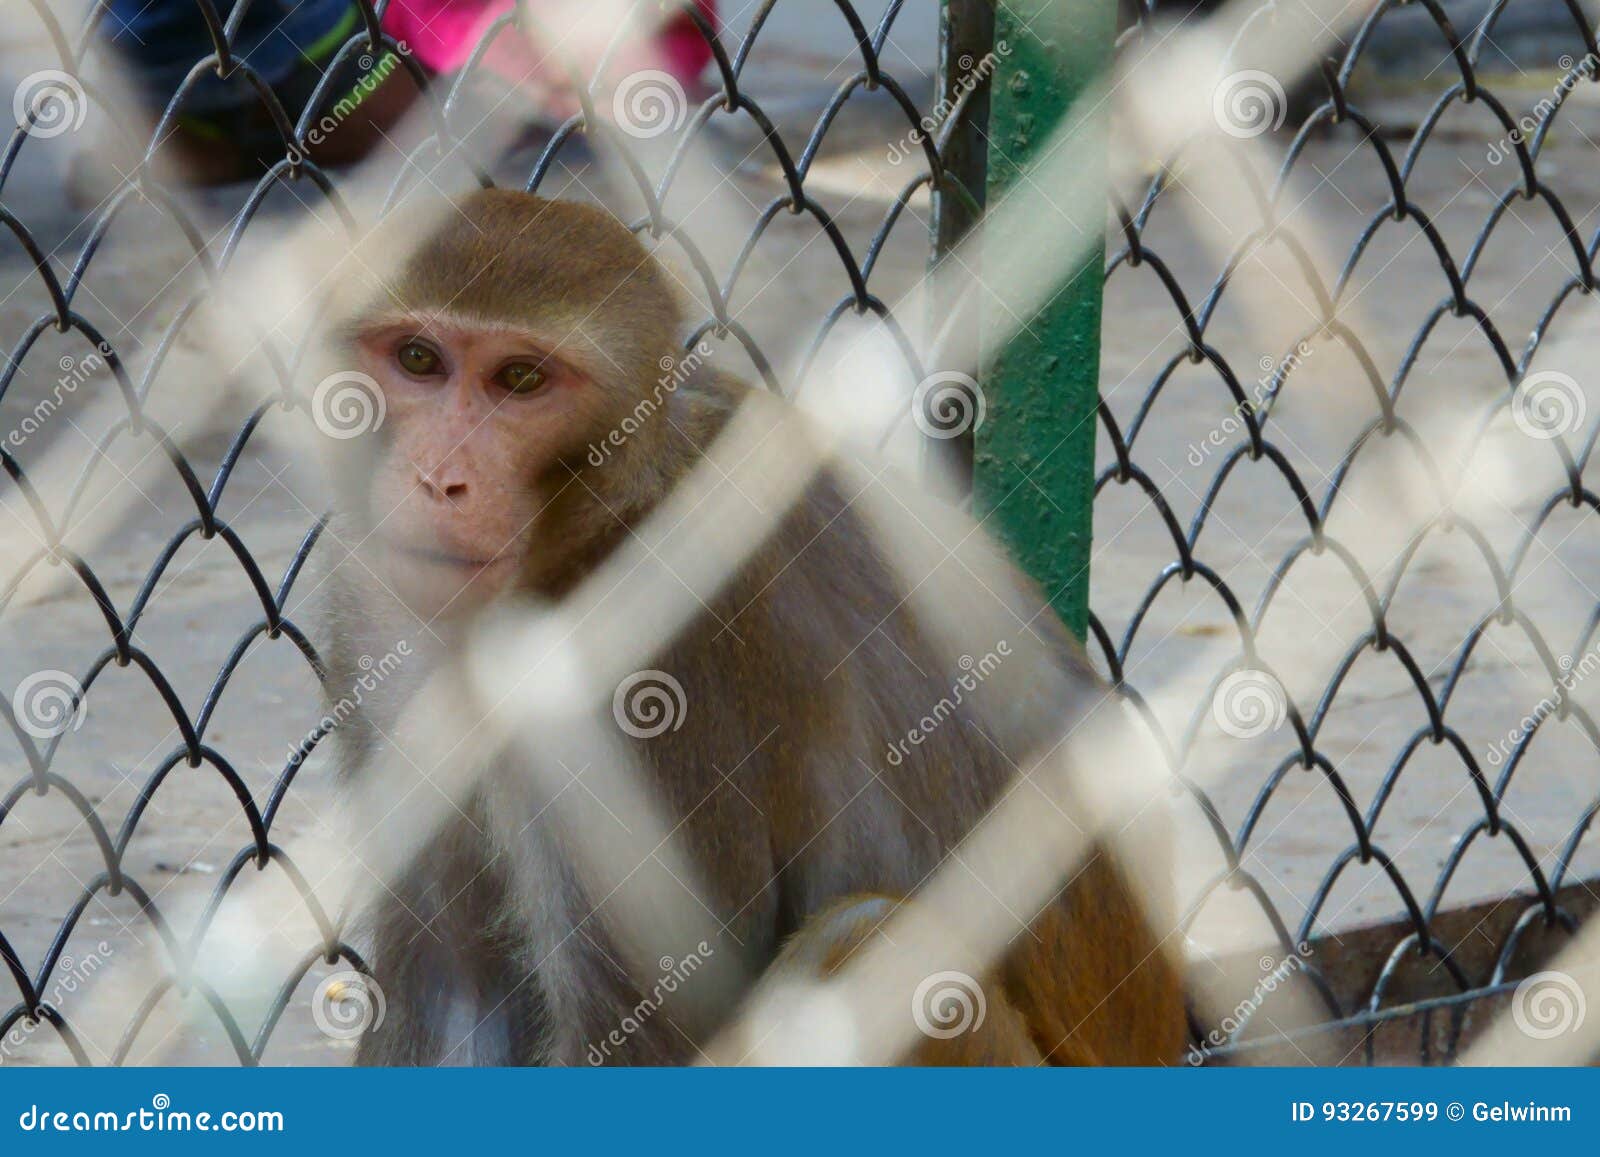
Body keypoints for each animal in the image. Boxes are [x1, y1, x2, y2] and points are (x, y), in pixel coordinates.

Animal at [310, 188, 1185, 1066]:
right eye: (419, 359)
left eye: (520, 378)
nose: (437, 478)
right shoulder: (364, 600)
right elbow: (450, 984)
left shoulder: (650, 671)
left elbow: (644, 1031)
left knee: (856, 938)